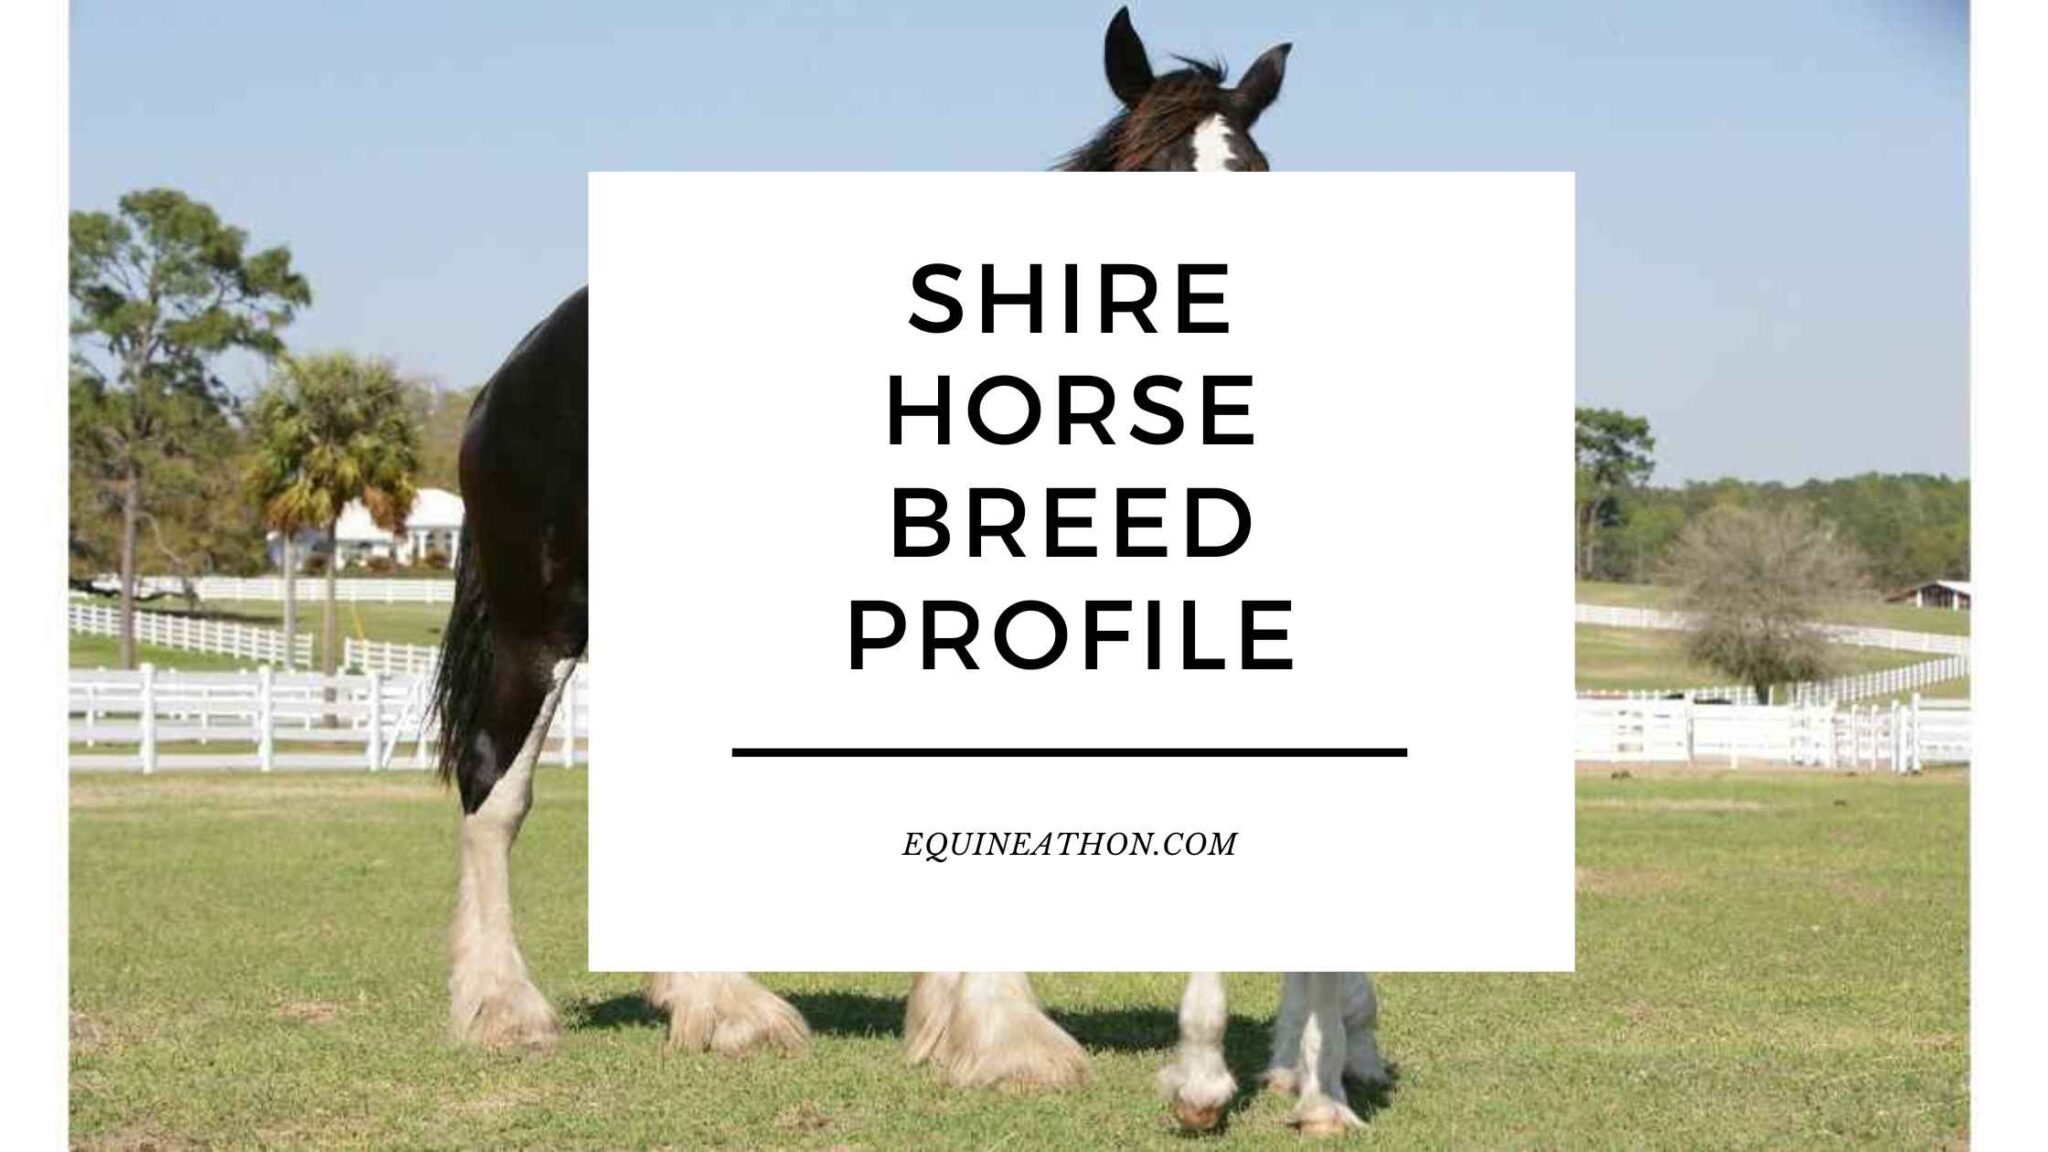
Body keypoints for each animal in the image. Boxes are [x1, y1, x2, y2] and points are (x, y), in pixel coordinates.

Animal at [431, 6, 1387, 1136]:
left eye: (1266, 183)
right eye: (1141, 190)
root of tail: (521, 363)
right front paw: (1007, 1037)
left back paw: (717, 1005)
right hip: (540, 629)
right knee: (493, 789)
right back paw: (507, 1008)